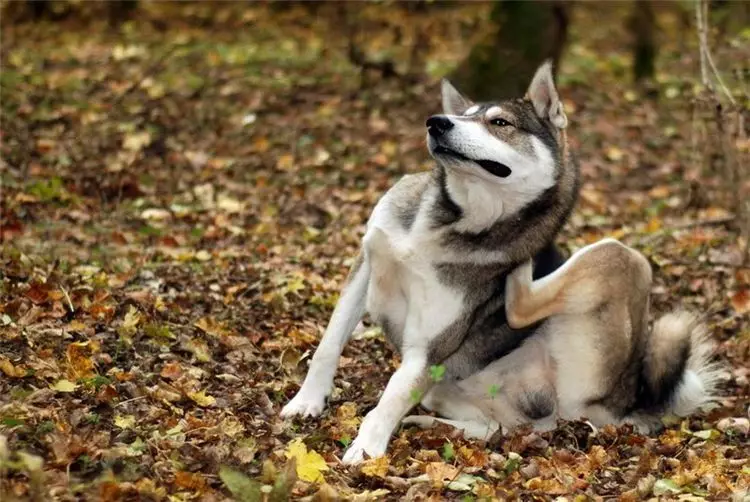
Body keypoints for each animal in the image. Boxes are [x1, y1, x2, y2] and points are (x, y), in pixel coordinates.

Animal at [280, 61, 720, 462]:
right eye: (464, 115)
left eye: (500, 122)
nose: (436, 123)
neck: (450, 220)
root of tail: (626, 400)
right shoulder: (366, 264)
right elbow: (329, 344)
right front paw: (308, 401)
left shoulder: (427, 350)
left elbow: (391, 396)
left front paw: (367, 447)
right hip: (460, 394)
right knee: (500, 427)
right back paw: (431, 424)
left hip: (622, 258)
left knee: (527, 305)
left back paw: (522, 270)